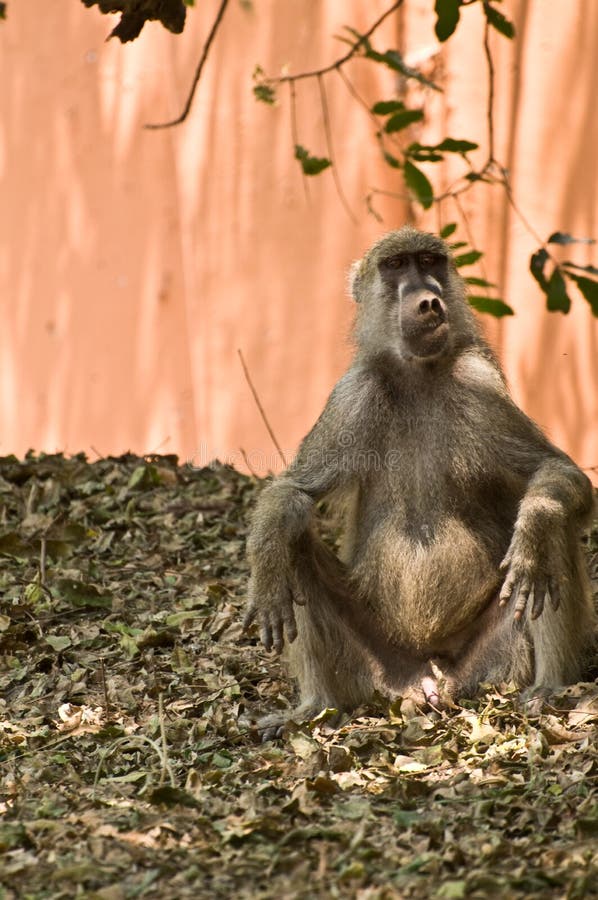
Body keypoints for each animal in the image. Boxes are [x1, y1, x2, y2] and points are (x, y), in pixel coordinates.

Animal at [244, 225, 596, 733]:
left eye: (430, 261)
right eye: (396, 266)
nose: (429, 301)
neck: (418, 375)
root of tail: (430, 675)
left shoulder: (478, 382)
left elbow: (557, 475)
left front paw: (532, 531)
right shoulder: (353, 394)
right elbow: (294, 491)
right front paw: (268, 568)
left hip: (492, 664)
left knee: (555, 532)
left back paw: (550, 685)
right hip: (379, 668)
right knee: (296, 535)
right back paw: (313, 706)